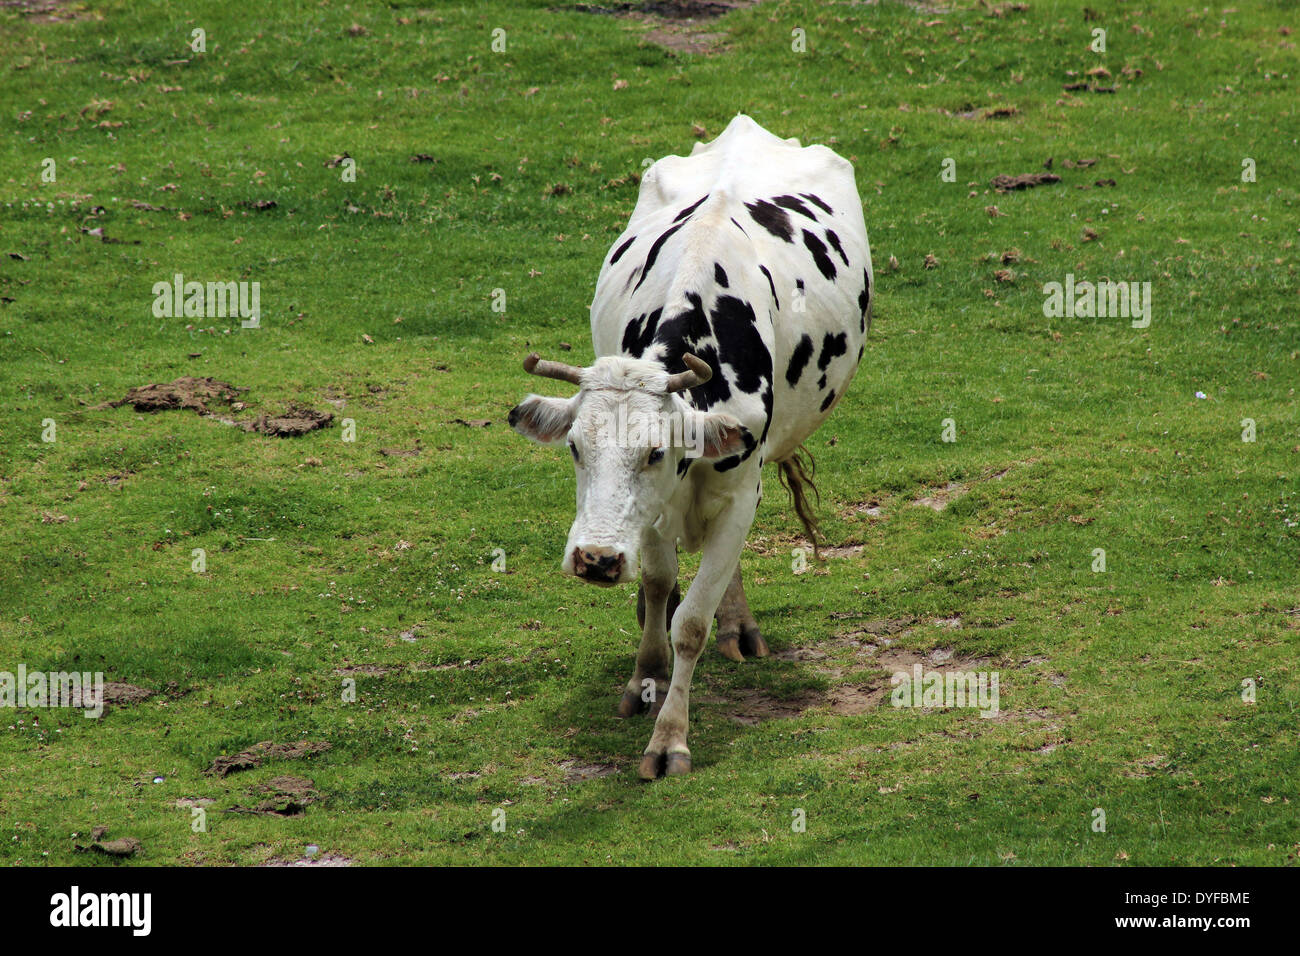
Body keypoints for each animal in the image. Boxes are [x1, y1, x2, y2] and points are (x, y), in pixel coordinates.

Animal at [509, 114, 872, 778]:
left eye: (656, 452)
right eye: (573, 448)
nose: (595, 559)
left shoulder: (739, 490)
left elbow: (692, 623)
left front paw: (669, 738)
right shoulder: (654, 511)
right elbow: (659, 586)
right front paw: (645, 676)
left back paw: (738, 627)